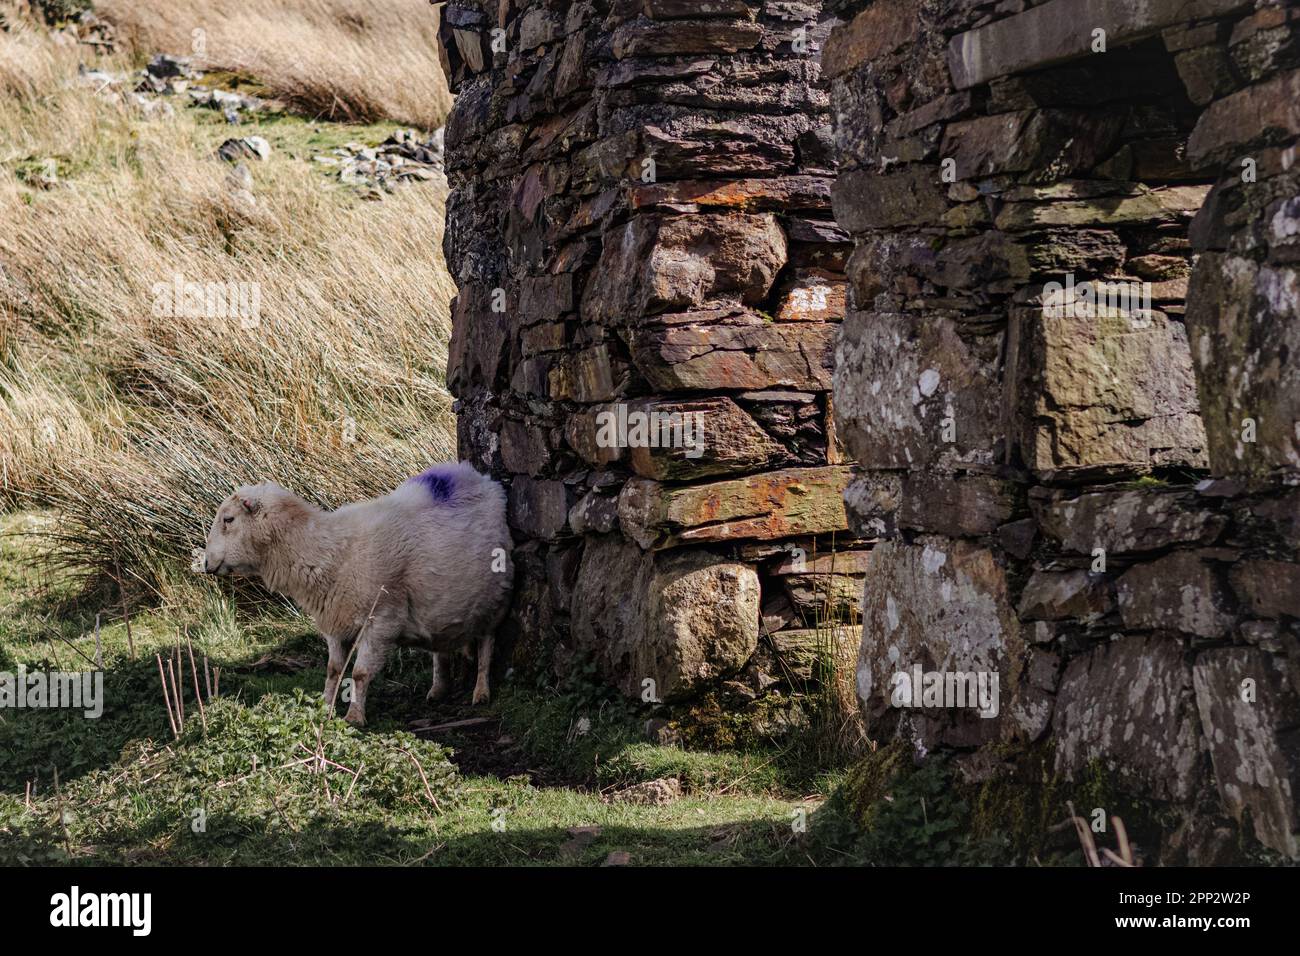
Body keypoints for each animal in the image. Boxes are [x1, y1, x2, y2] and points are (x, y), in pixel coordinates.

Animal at [202, 462, 514, 725]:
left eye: (228, 519)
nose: (205, 563)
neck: (331, 551)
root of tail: (478, 477)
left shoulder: (381, 621)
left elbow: (360, 674)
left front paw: (354, 717)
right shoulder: (335, 622)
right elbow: (333, 669)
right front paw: (324, 706)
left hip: (495, 600)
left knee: (487, 645)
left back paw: (481, 691)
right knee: (440, 649)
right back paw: (438, 688)